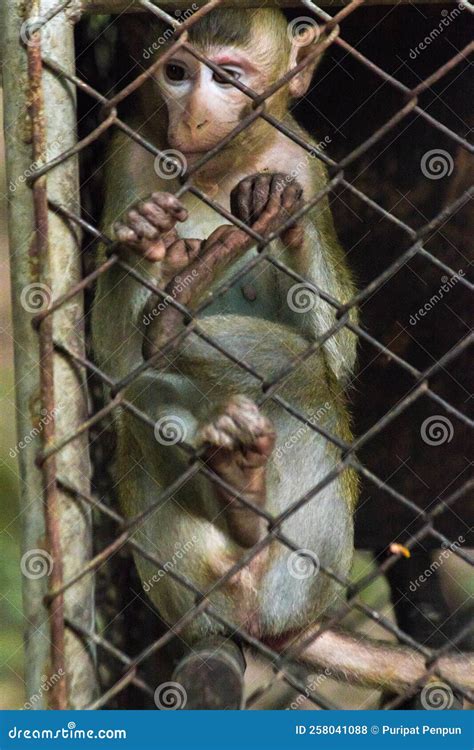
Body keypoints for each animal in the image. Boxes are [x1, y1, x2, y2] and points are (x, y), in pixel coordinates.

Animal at [91, 9, 474, 704]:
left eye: (226, 77)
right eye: (177, 71)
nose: (190, 117)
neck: (218, 168)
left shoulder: (306, 161)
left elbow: (336, 351)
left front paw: (282, 218)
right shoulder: (127, 153)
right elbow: (115, 361)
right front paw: (143, 240)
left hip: (308, 574)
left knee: (305, 377)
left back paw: (244, 499)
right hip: (180, 585)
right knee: (143, 387)